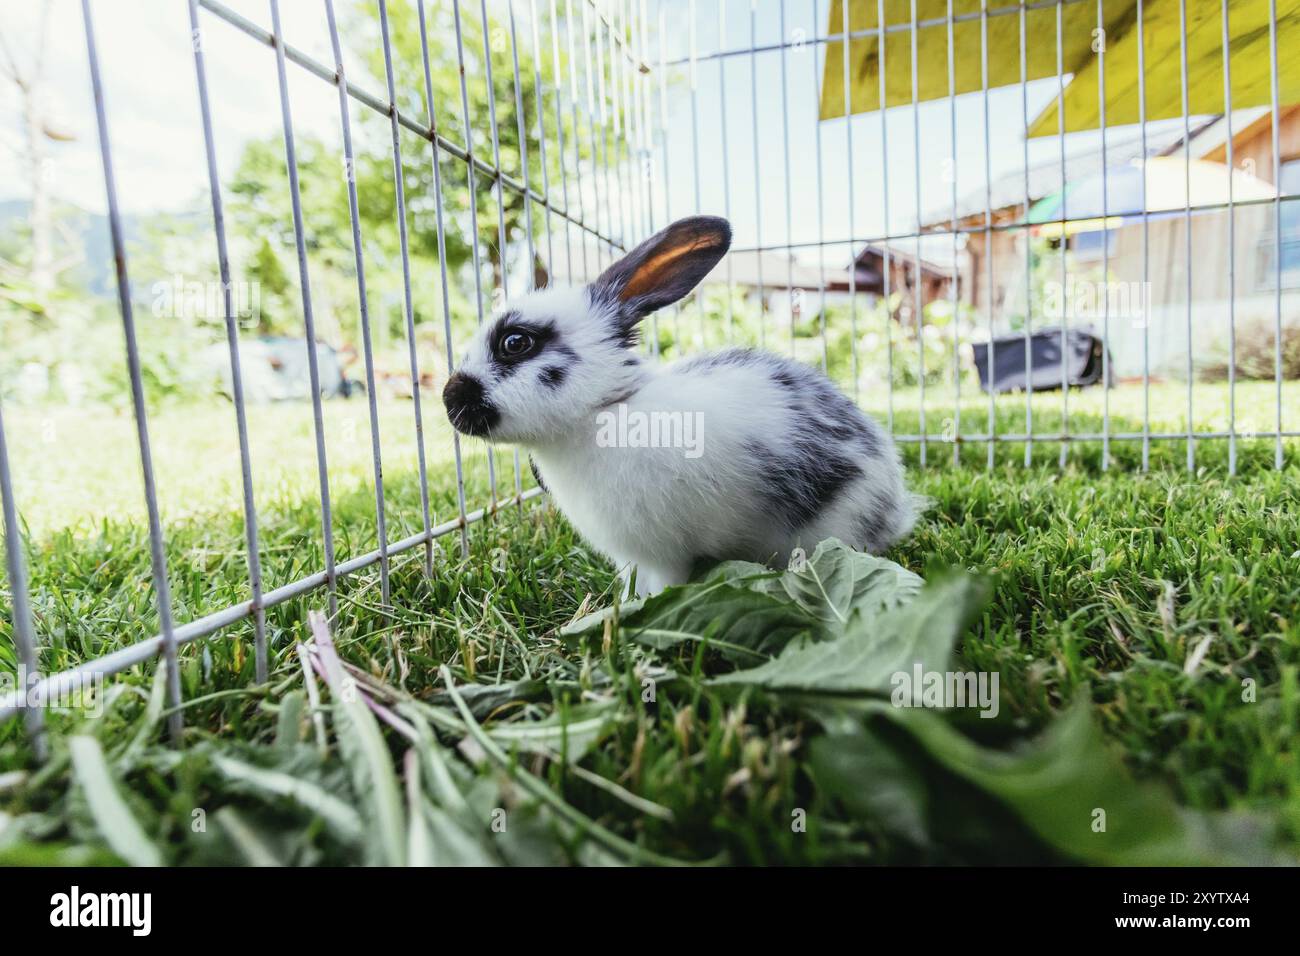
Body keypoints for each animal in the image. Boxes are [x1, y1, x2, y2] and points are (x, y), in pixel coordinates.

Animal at [442, 215, 916, 597]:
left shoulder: (662, 552)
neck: (602, 409)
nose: (450, 400)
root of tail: (897, 505)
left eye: (515, 343)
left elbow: (662, 582)